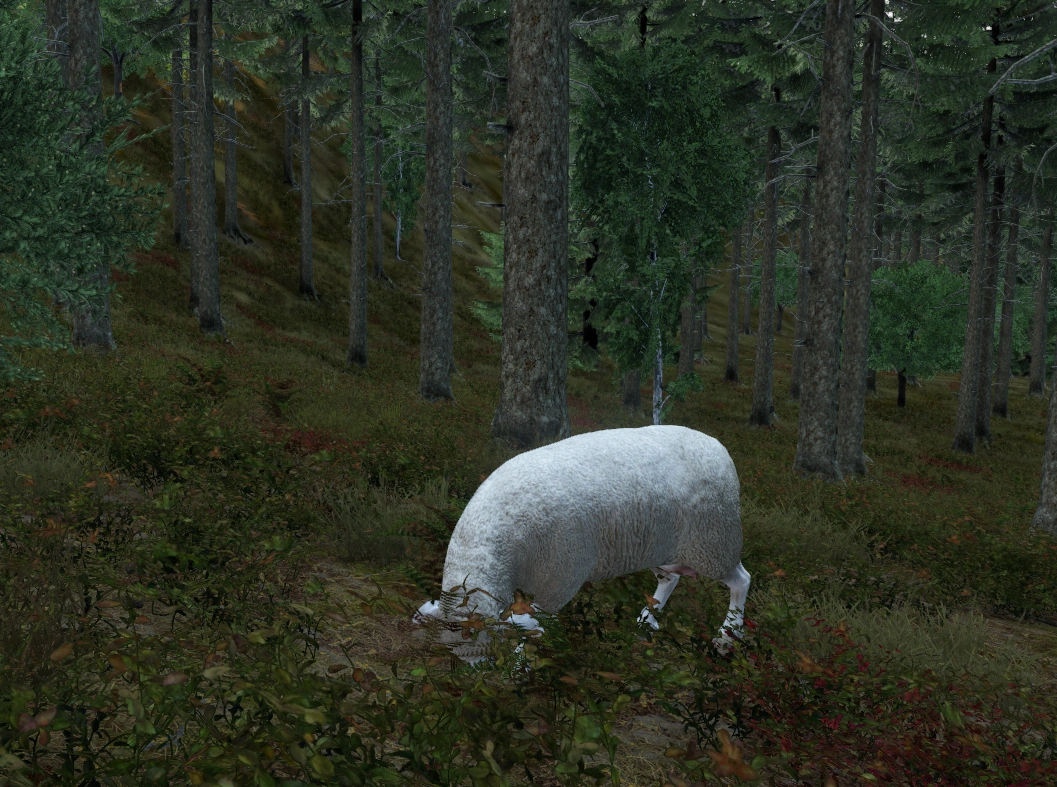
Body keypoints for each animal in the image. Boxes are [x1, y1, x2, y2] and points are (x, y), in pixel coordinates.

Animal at [415, 425, 750, 658]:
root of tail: (718, 445)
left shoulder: (558, 581)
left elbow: (531, 629)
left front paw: (519, 666)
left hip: (713, 544)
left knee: (741, 580)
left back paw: (727, 636)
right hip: (662, 547)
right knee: (670, 579)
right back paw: (647, 619)